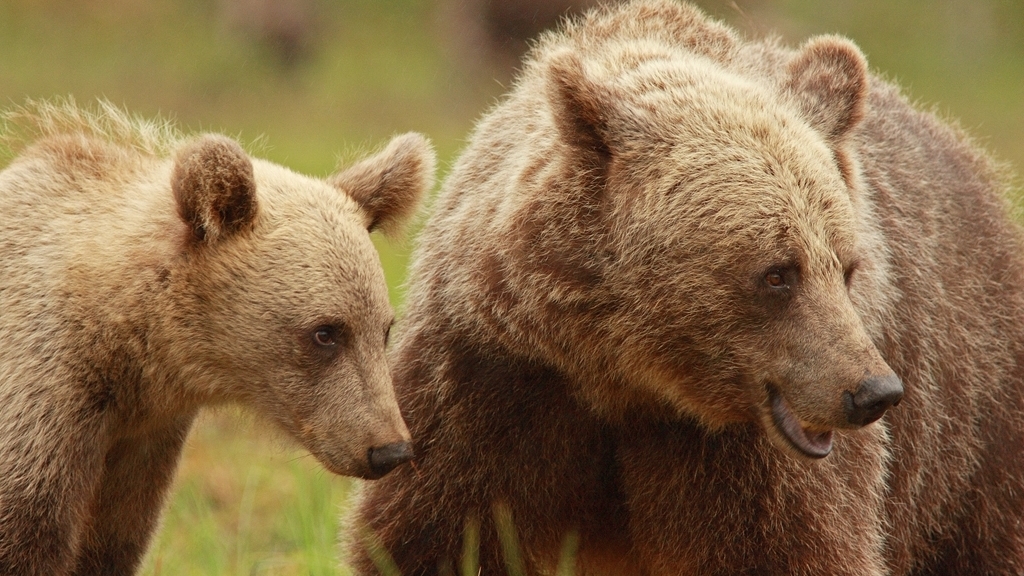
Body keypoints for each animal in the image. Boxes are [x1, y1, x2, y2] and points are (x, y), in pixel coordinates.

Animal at [0, 99, 435, 575]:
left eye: (384, 328)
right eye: (325, 332)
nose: (391, 449)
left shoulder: (142, 443)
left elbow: (111, 543)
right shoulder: (44, 398)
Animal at [347, 1, 1024, 575]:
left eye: (848, 267)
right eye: (778, 273)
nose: (873, 391)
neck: (623, 376)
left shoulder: (744, 464)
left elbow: (781, 551)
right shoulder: (494, 387)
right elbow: (437, 534)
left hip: (970, 430)